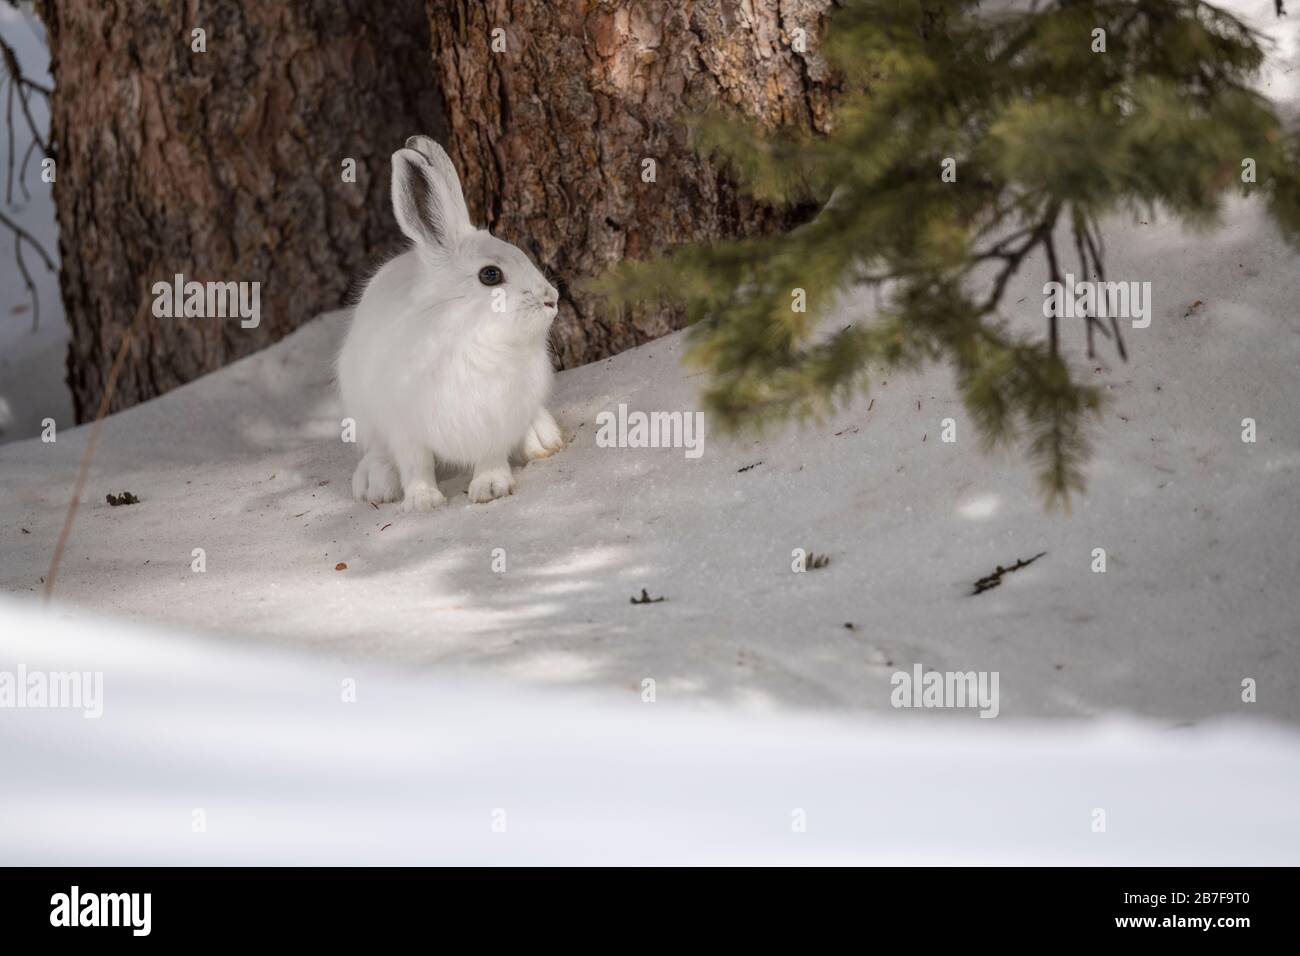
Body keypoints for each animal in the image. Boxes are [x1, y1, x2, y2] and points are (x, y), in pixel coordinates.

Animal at [337, 135, 564, 511]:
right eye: (490, 275)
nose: (552, 299)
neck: (471, 335)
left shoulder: (496, 421)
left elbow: (490, 456)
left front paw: (490, 487)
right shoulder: (405, 426)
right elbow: (416, 464)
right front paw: (422, 502)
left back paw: (541, 438)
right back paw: (376, 484)